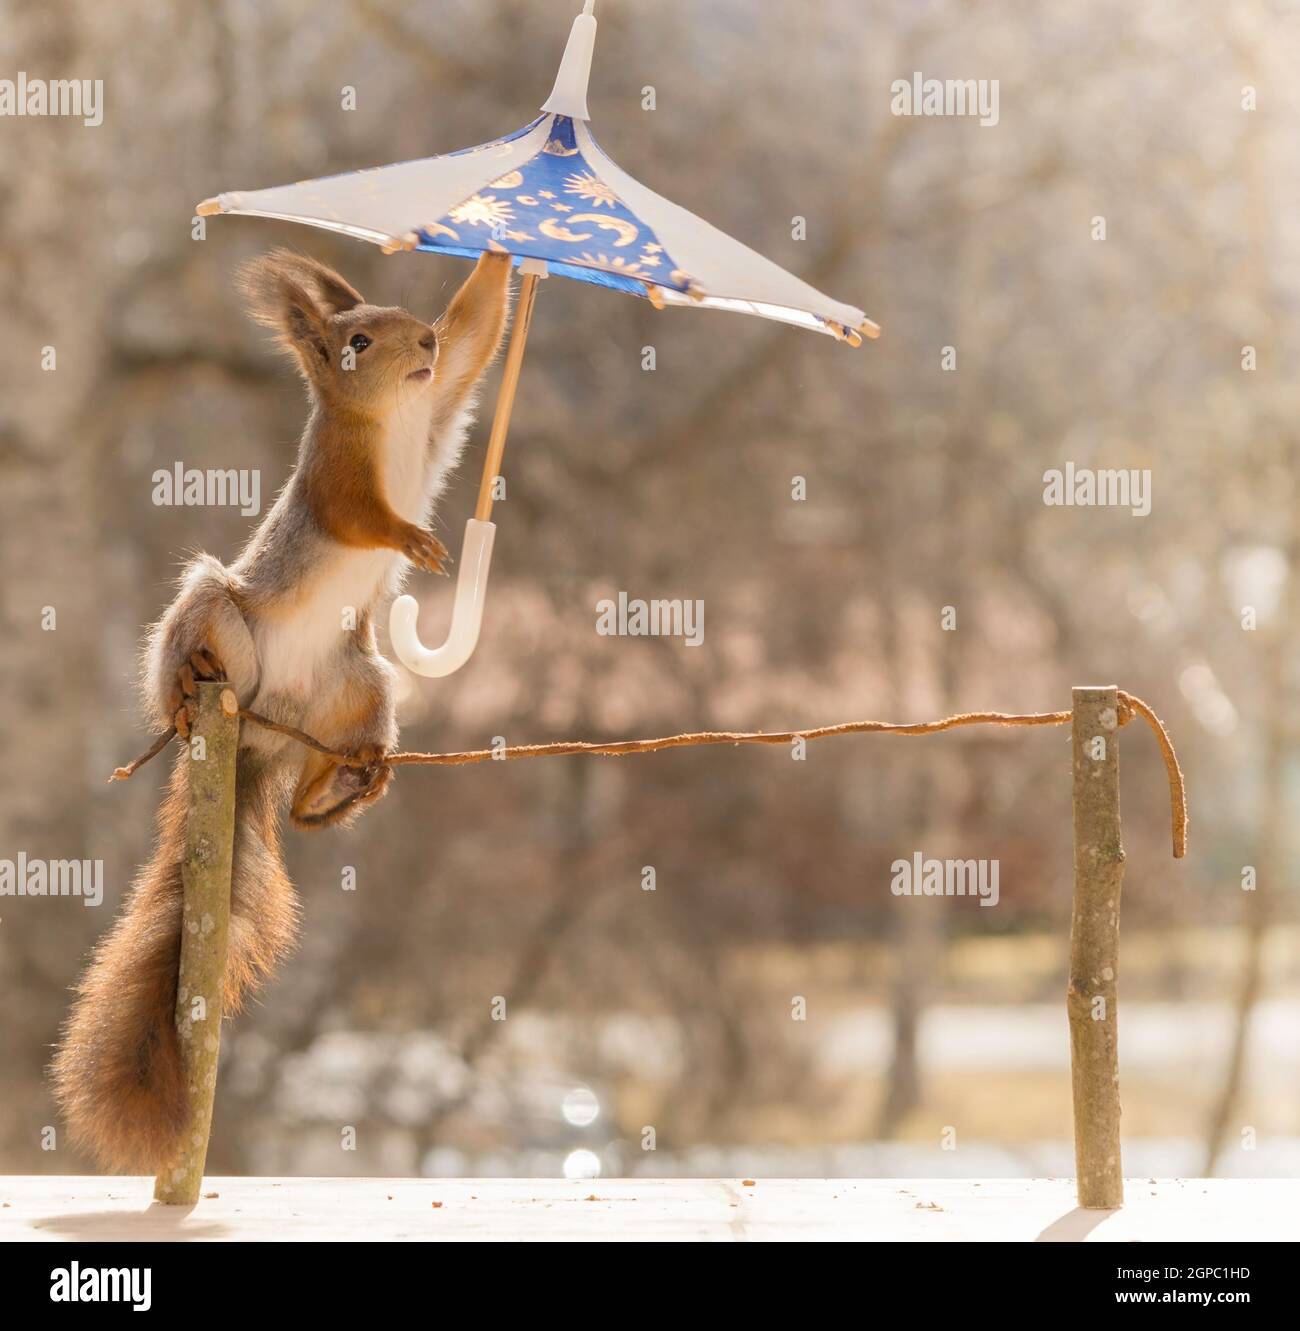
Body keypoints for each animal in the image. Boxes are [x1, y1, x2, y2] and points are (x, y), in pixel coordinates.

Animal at [51, 247, 513, 1173]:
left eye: (415, 325)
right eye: (356, 341)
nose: (423, 341)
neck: (395, 414)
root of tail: (261, 734)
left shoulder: (442, 404)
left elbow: (478, 334)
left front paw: (506, 244)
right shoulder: (335, 475)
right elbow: (359, 515)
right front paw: (410, 540)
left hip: (362, 681)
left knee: (316, 784)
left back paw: (339, 787)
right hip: (223, 616)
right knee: (192, 635)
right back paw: (184, 695)